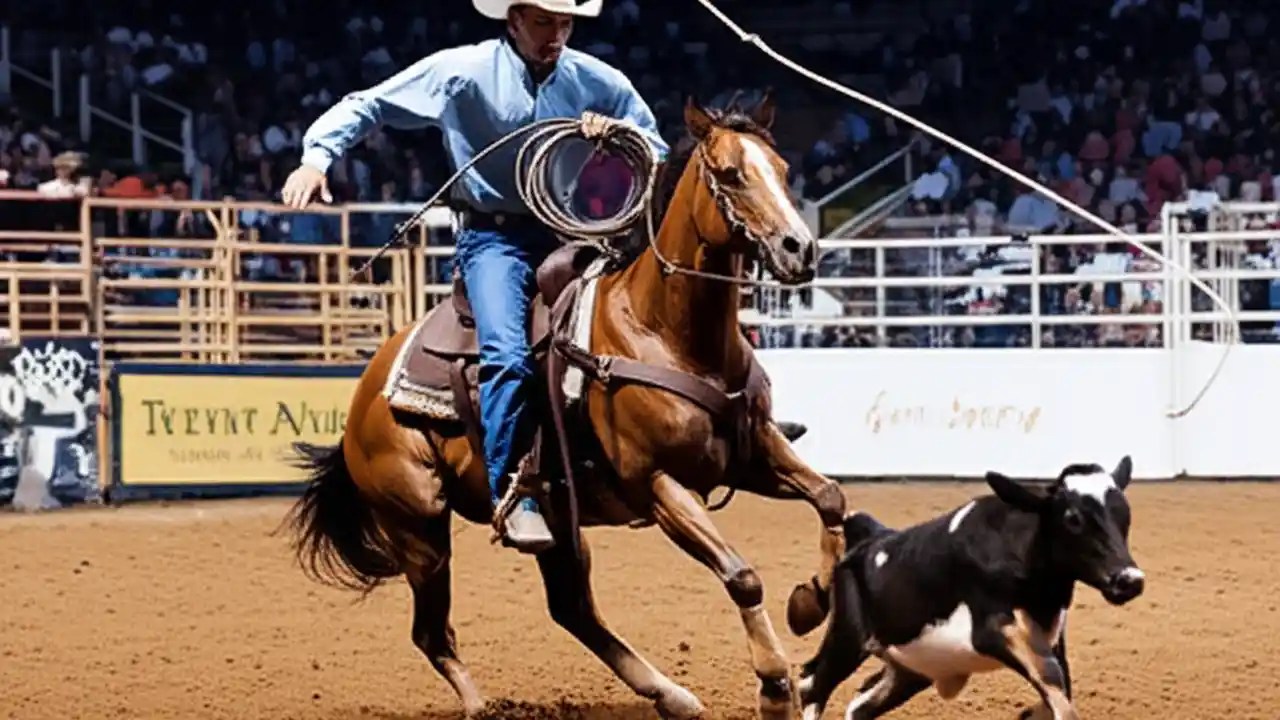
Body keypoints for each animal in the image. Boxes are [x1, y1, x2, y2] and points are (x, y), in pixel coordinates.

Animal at [284, 94, 849, 720]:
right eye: (730, 174)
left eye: (783, 170)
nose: (800, 249)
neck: (666, 331)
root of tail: (362, 398)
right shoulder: (659, 485)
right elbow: (742, 575)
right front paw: (775, 685)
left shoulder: (752, 454)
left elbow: (830, 497)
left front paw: (811, 601)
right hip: (419, 529)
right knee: (432, 633)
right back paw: (483, 706)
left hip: (557, 523)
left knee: (572, 609)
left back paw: (672, 694)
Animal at [796, 456, 1145, 720]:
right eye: (1073, 518)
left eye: (1124, 512)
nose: (1129, 579)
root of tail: (869, 536)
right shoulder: (993, 630)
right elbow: (1053, 683)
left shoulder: (1051, 636)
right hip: (846, 639)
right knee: (812, 687)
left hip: (911, 668)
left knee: (860, 705)